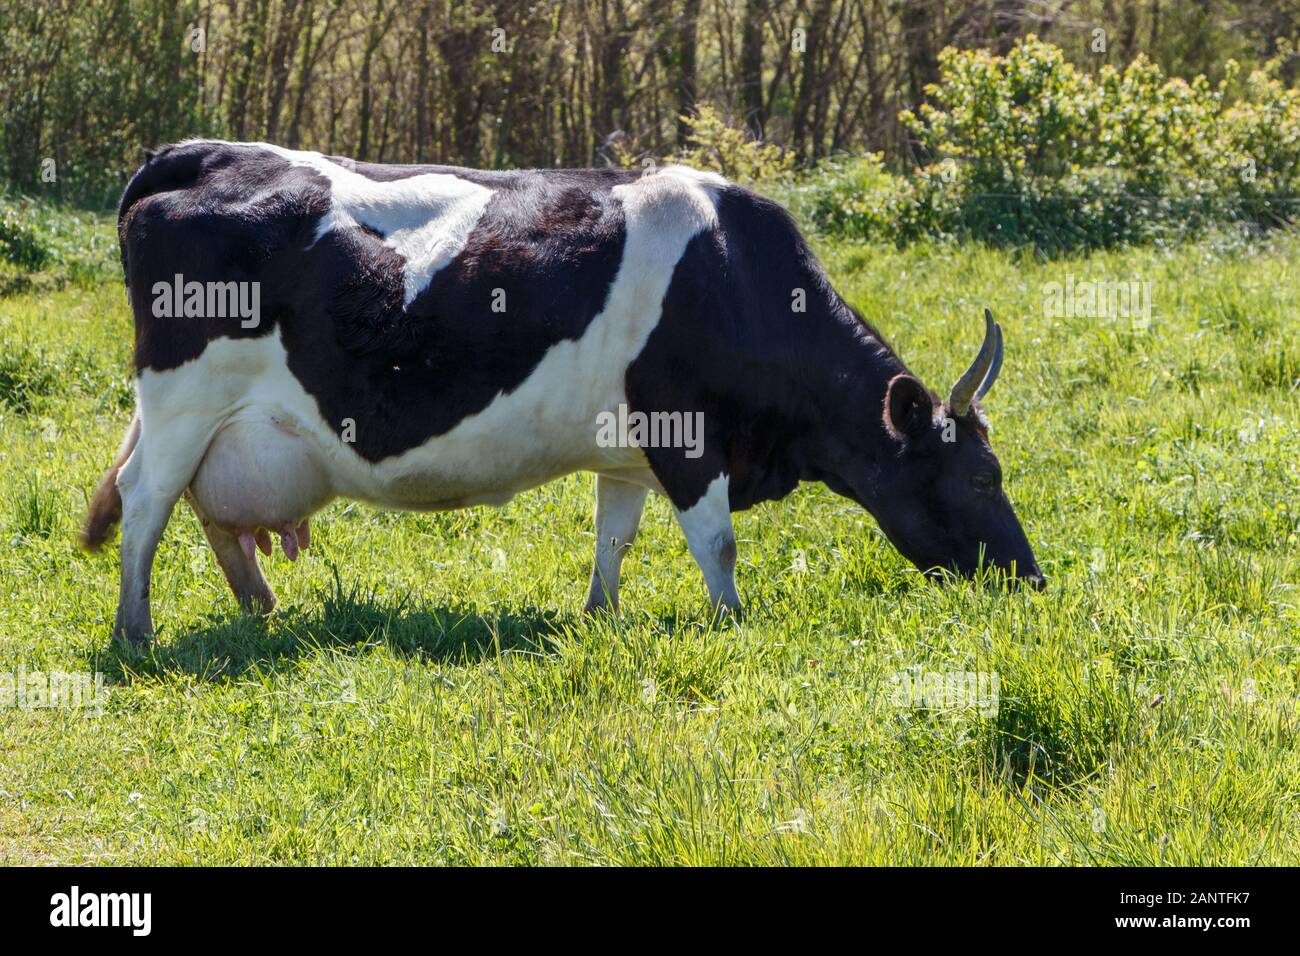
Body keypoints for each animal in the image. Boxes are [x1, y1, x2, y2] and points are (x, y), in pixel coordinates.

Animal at [81, 140, 1044, 647]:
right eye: (983, 478)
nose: (1032, 578)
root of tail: (203, 153)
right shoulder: (686, 438)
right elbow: (718, 544)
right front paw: (733, 623)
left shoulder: (626, 452)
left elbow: (614, 538)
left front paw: (600, 618)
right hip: (181, 400)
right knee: (146, 498)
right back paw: (136, 631)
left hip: (225, 425)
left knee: (209, 509)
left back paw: (259, 608)